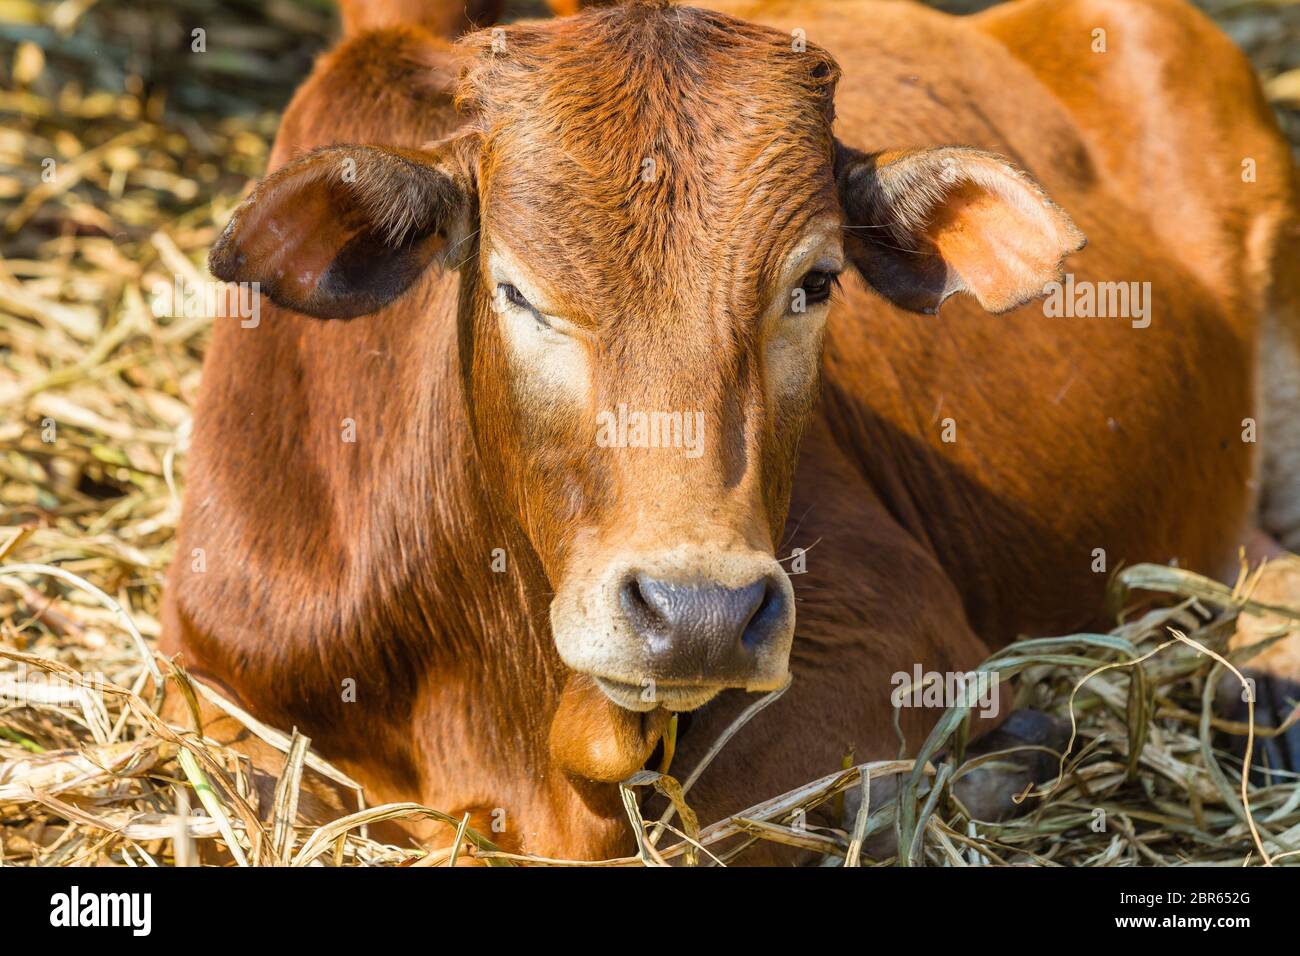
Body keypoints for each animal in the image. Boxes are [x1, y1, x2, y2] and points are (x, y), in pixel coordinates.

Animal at [161, 0, 1300, 863]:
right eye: (514, 290)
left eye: (816, 281)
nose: (700, 613)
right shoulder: (206, 678)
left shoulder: (894, 630)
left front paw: (1011, 753)